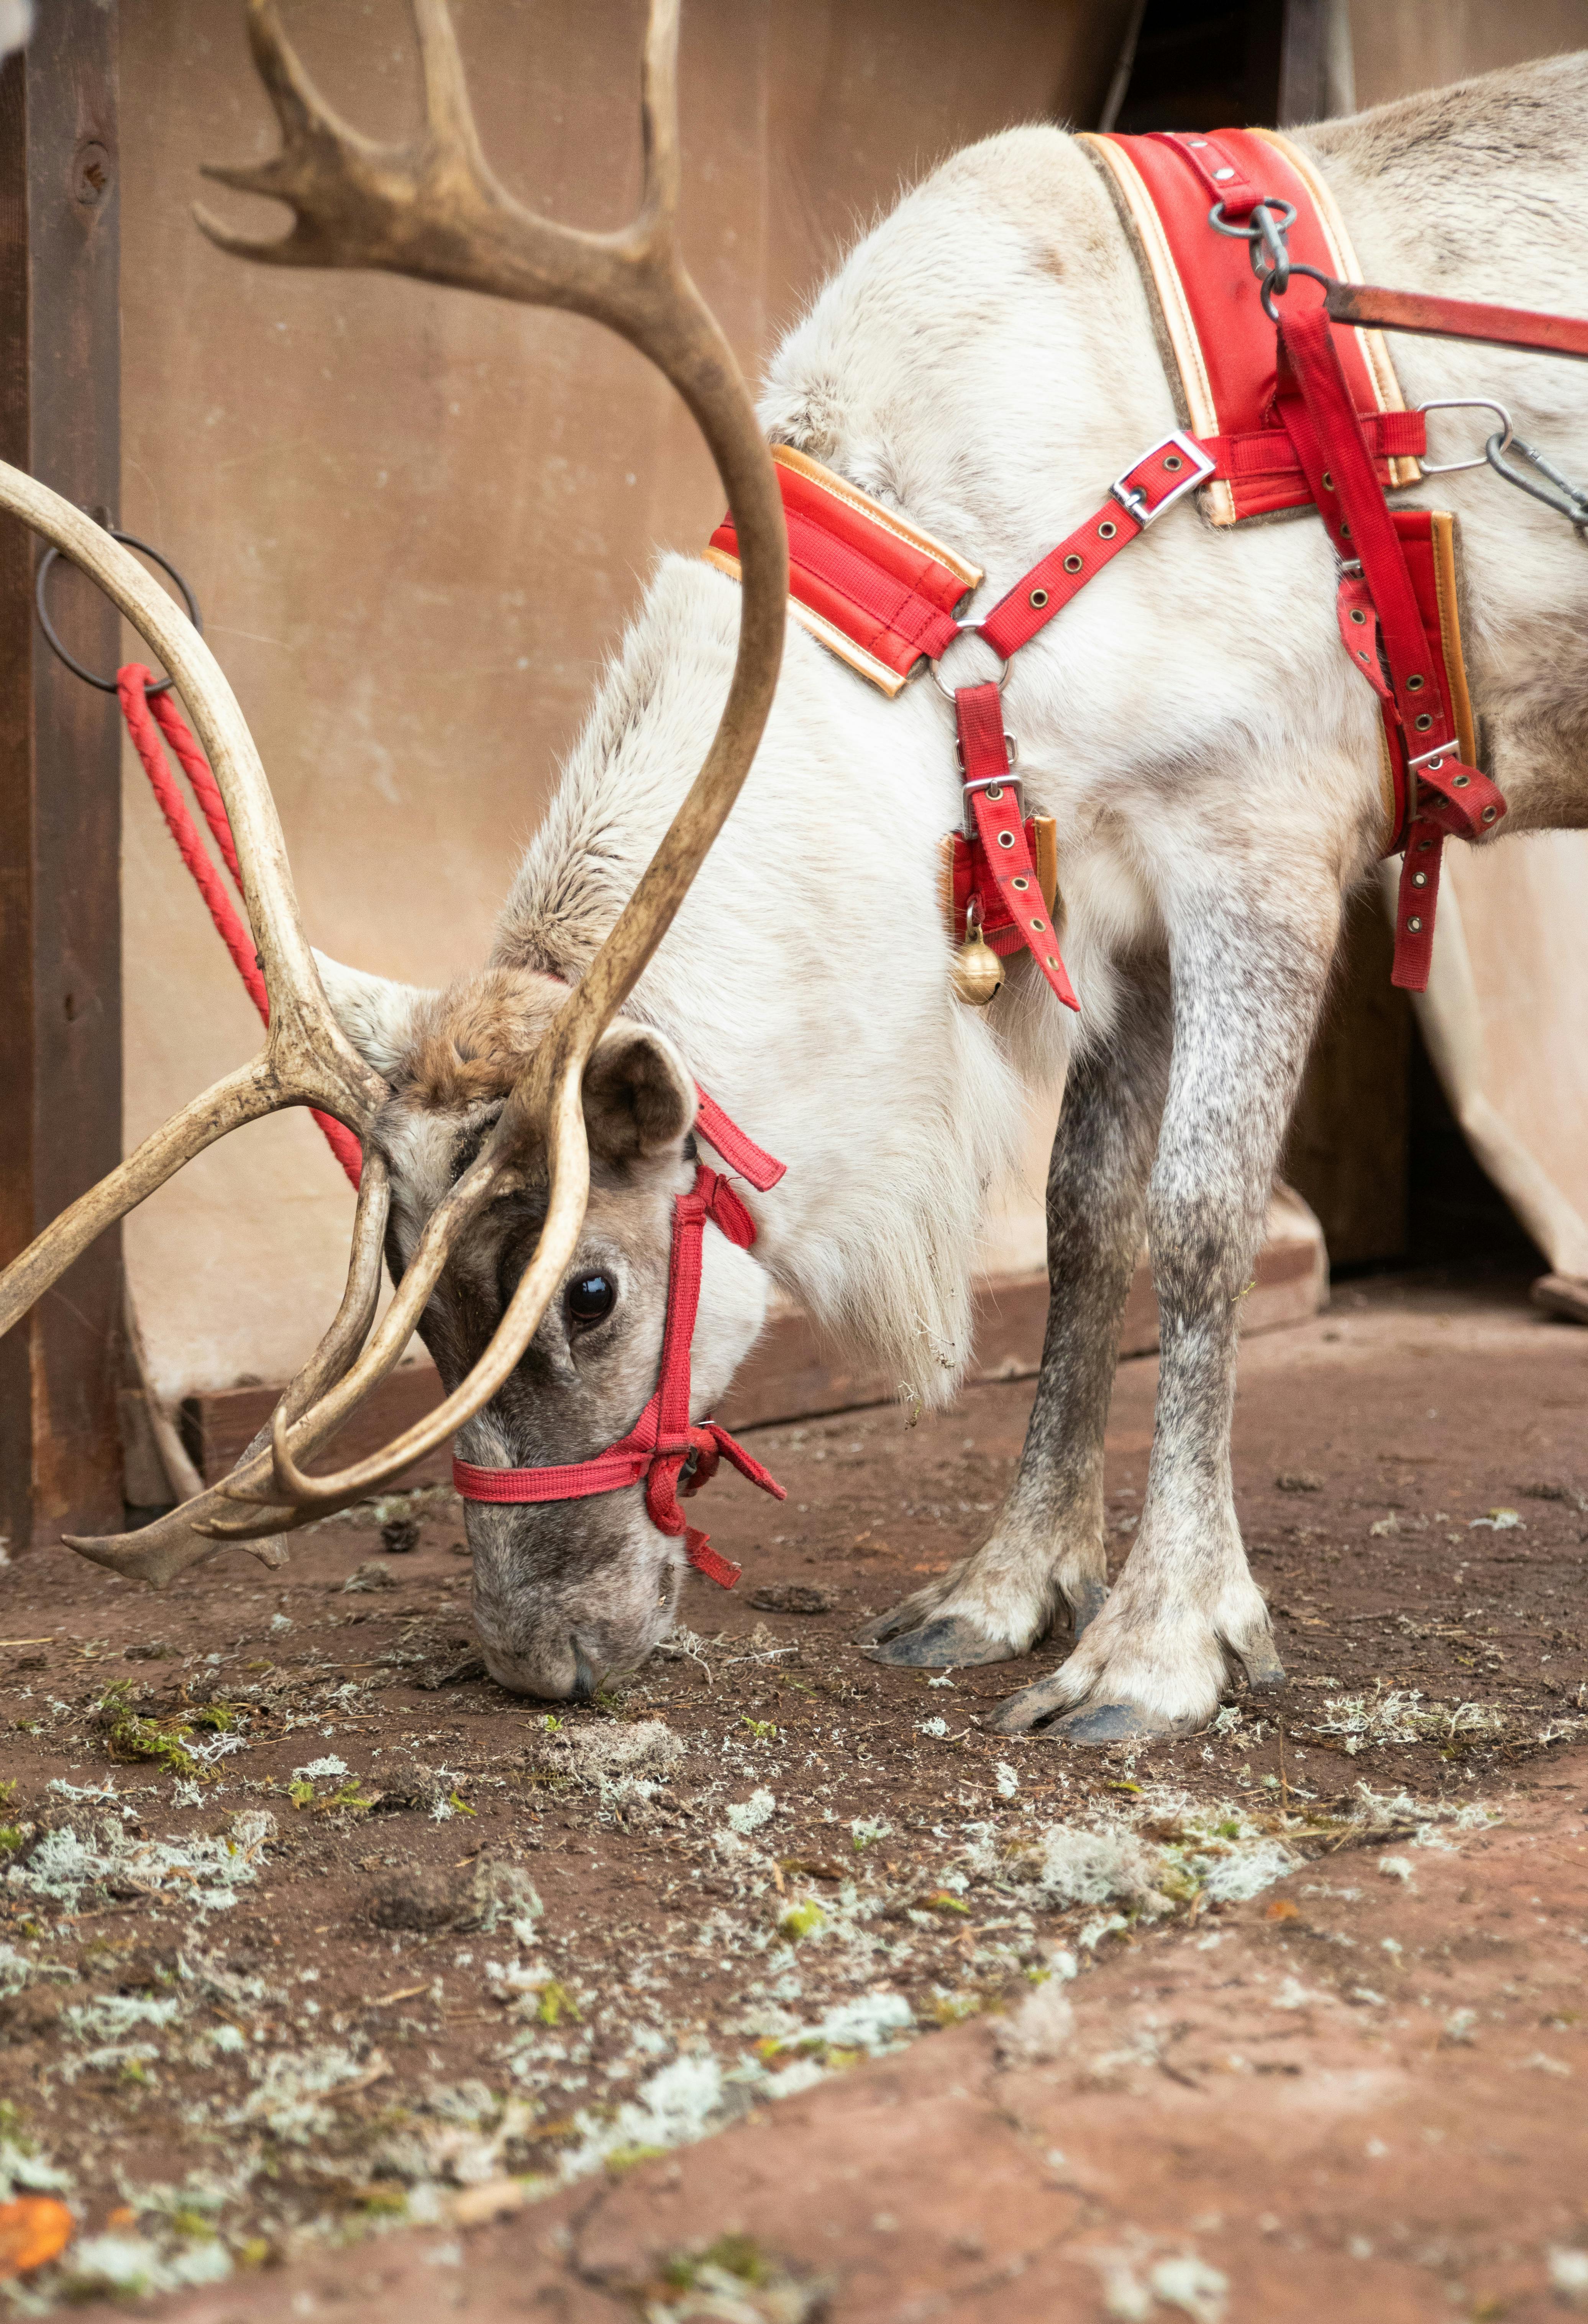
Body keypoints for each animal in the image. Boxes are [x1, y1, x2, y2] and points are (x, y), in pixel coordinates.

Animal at [3, 10, 1586, 1744]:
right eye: (417, 1300)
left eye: (591, 1293)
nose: (538, 1656)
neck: (956, 603)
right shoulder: (1109, 908)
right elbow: (1083, 1219)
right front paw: (1007, 1584)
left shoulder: (1260, 841)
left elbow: (1197, 1218)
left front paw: (1160, 1641)